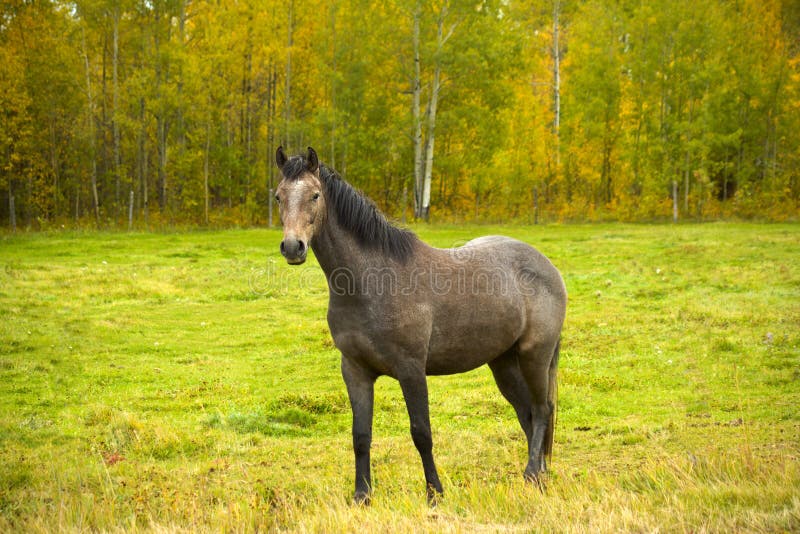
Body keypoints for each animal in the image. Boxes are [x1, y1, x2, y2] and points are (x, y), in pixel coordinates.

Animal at [273, 146, 567, 504]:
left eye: (314, 195)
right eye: (278, 196)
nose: (293, 247)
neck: (372, 280)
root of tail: (547, 266)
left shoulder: (411, 369)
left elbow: (421, 433)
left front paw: (434, 493)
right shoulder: (355, 370)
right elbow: (360, 435)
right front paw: (362, 496)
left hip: (535, 356)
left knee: (541, 410)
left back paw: (532, 475)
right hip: (503, 362)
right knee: (527, 414)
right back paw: (540, 476)